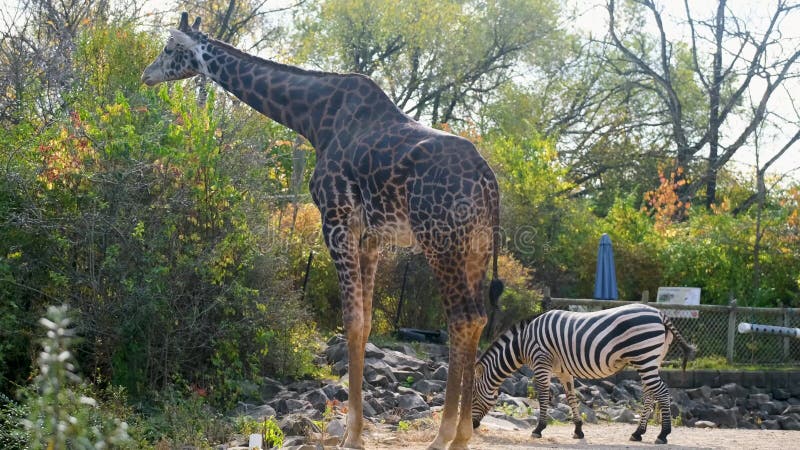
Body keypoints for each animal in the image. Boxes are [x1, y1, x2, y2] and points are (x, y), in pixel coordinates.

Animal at [142, 13, 504, 450]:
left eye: (168, 49)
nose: (146, 74)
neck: (312, 119)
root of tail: (488, 183)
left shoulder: (336, 217)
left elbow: (351, 321)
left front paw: (352, 436)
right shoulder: (372, 235)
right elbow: (366, 322)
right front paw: (355, 430)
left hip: (441, 241)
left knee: (462, 318)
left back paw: (445, 435)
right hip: (475, 248)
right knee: (479, 318)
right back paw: (464, 433)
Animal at [472, 303, 696, 445]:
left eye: (472, 397)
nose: (472, 426)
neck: (524, 343)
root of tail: (659, 313)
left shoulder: (541, 363)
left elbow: (543, 397)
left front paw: (538, 429)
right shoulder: (563, 371)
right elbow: (571, 397)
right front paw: (578, 430)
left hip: (645, 356)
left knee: (662, 393)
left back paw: (663, 434)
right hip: (651, 359)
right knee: (650, 393)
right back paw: (638, 433)